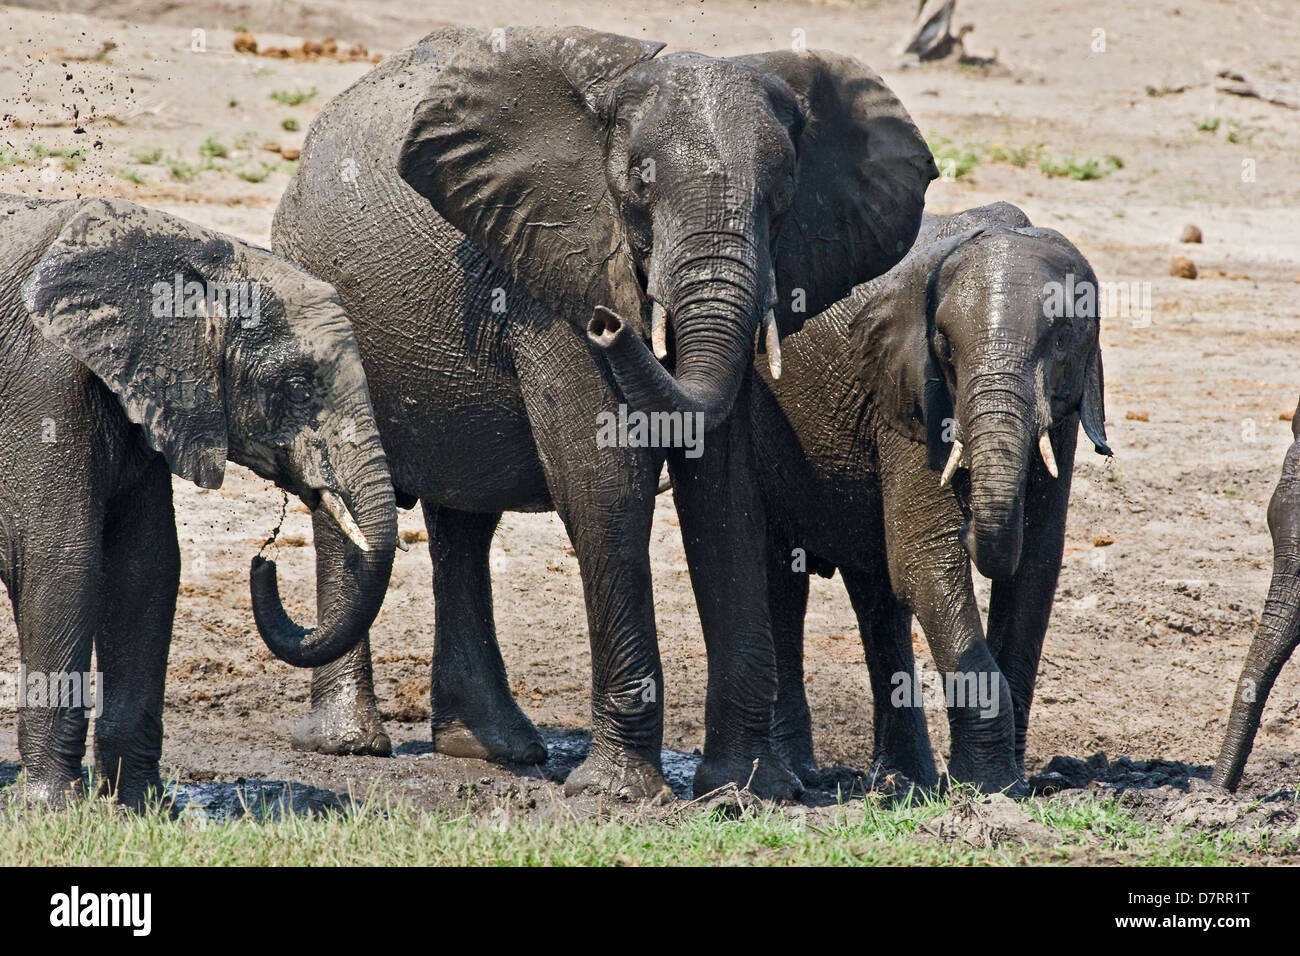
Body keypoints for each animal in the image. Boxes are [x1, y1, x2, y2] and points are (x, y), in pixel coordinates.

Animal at [0, 193, 398, 807]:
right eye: (298, 386)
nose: (263, 561)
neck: (195, 250)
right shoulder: (41, 385)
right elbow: (61, 561)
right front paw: (52, 806)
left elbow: (145, 570)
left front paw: (141, 807)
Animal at [271, 24, 936, 799]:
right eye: (639, 186)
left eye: (781, 196)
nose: (611, 325)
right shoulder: (551, 264)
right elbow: (604, 481)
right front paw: (619, 794)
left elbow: (724, 492)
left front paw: (748, 790)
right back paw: (351, 744)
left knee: (464, 523)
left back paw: (493, 748)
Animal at [748, 202, 1111, 792]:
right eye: (944, 347)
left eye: (1061, 338)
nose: (968, 515)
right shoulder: (909, 391)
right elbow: (927, 559)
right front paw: (989, 787)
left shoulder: (1064, 415)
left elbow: (1034, 567)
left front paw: (1011, 783)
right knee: (782, 575)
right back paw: (802, 776)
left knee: (875, 591)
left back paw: (902, 779)